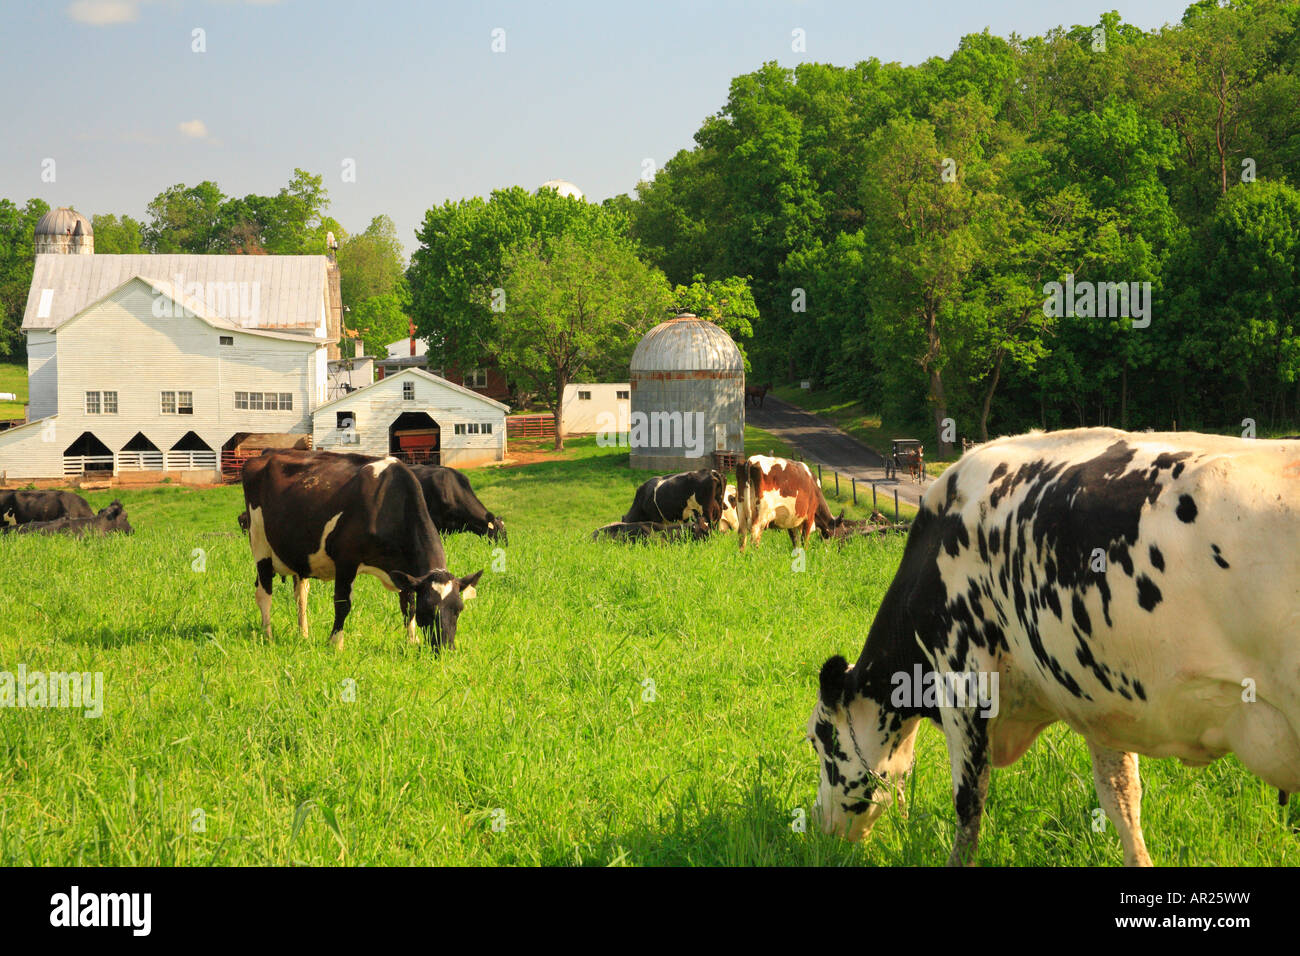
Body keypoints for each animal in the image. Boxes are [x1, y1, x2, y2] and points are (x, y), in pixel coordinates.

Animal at [241, 449, 483, 652]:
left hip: (299, 556)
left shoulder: (404, 569)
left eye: (459, 608)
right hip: (260, 544)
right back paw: (268, 636)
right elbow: (342, 603)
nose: (445, 649)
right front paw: (335, 643)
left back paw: (304, 634)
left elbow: (408, 605)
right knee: (264, 593)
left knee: (301, 595)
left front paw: (411, 642)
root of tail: (266, 454)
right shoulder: (346, 560)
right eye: (428, 609)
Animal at [807, 427, 1300, 866]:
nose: (821, 825)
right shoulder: (1100, 700)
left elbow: (968, 806)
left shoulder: (961, 676)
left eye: (820, 737)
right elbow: (1122, 799)